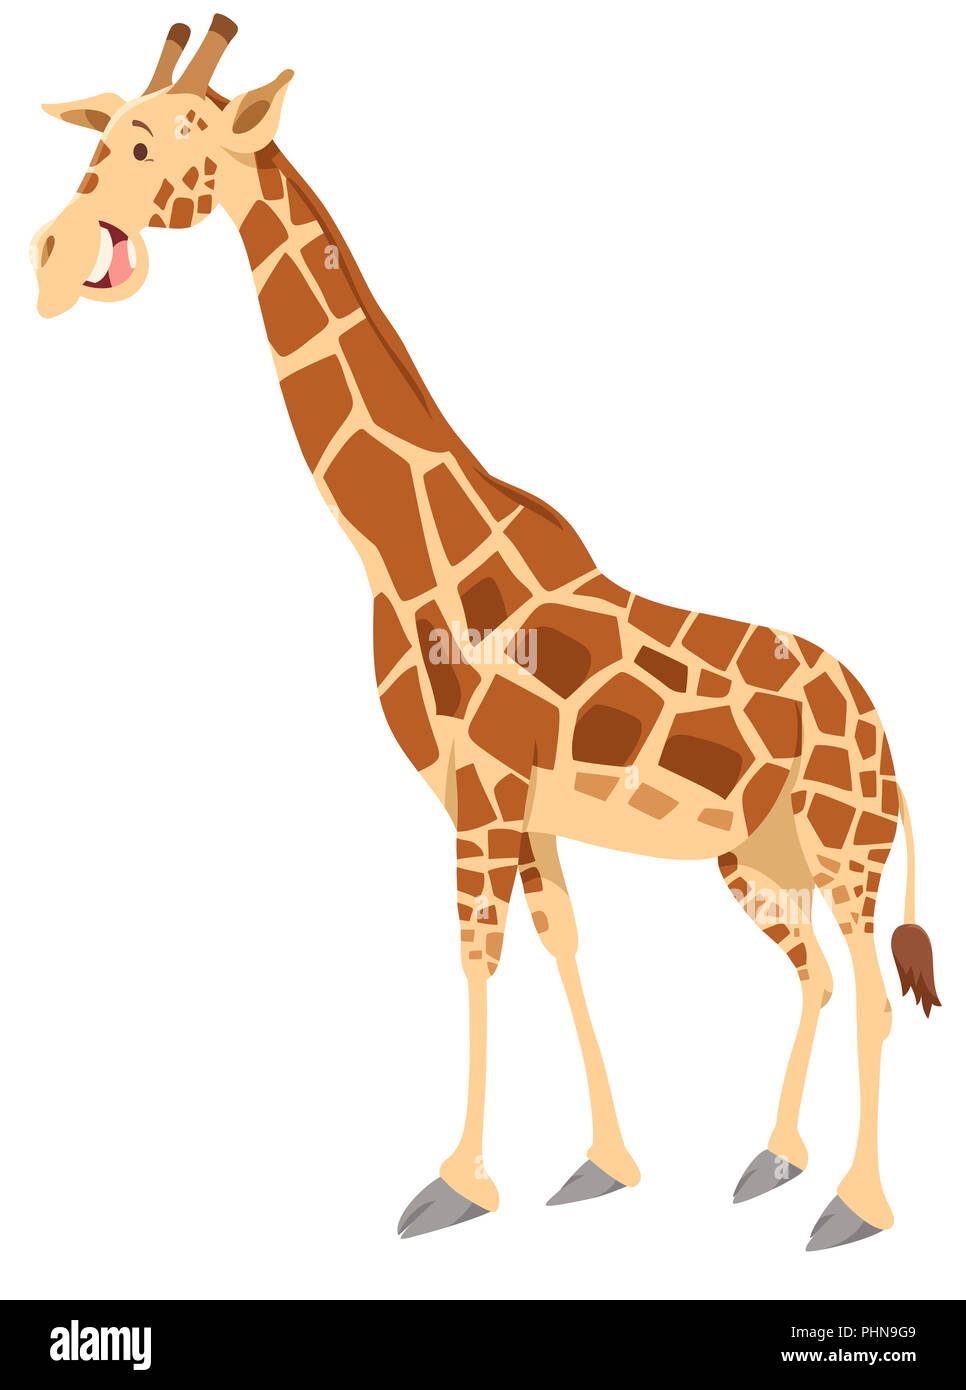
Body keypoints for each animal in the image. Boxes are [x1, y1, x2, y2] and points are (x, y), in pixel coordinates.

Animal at [30, 16, 941, 1249]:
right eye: (105, 130)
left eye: (164, 139)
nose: (51, 256)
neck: (405, 557)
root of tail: (887, 730)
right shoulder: (514, 804)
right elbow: (560, 943)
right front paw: (603, 1165)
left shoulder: (484, 789)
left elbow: (475, 955)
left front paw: (455, 1185)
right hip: (754, 856)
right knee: (817, 977)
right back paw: (773, 1159)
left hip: (847, 847)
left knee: (875, 993)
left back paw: (856, 1206)